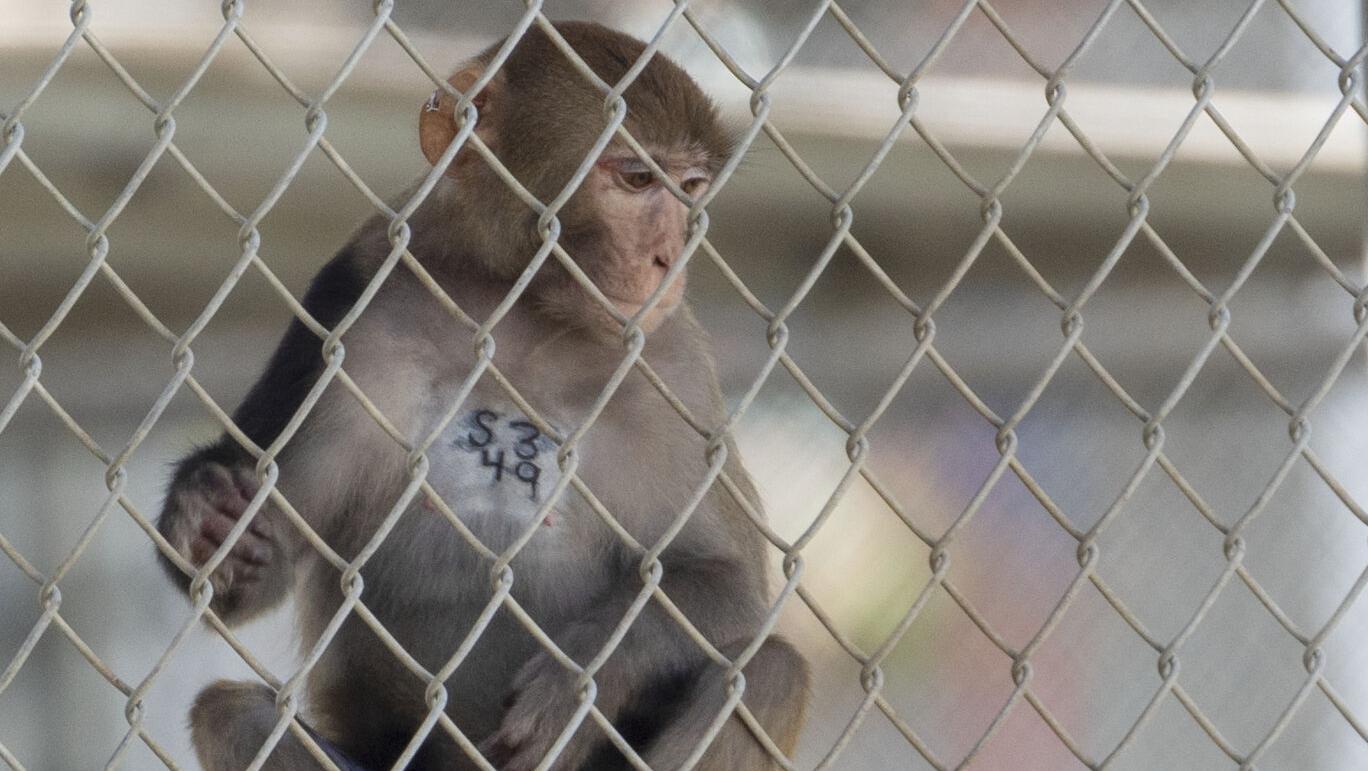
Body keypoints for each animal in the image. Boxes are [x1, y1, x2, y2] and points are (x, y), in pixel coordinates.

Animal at [156, 21, 809, 771]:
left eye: (690, 187)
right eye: (637, 178)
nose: (669, 256)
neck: (518, 312)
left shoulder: (670, 361)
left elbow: (728, 581)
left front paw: (580, 675)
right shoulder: (354, 298)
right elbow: (252, 570)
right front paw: (205, 515)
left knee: (766, 670)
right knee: (230, 712)